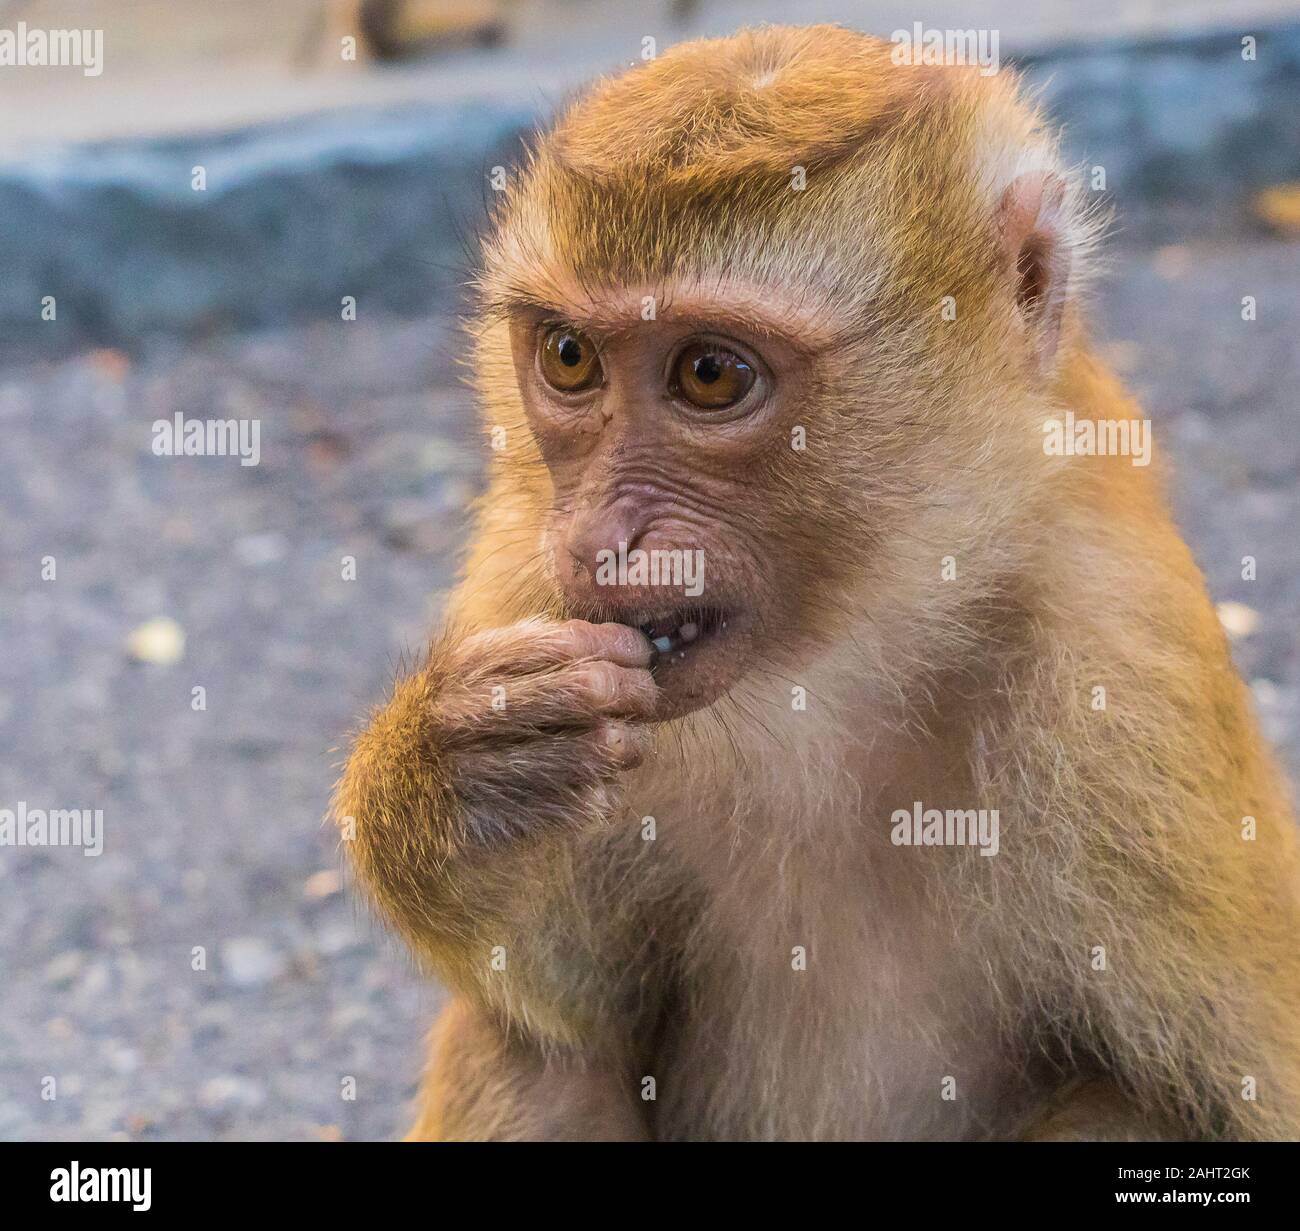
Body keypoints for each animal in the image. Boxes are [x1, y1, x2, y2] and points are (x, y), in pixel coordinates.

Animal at [333, 25, 1300, 1141]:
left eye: (710, 374)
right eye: (569, 356)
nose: (599, 539)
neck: (842, 653)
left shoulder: (1125, 674)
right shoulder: (519, 572)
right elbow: (567, 1004)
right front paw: (460, 786)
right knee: (541, 1060)